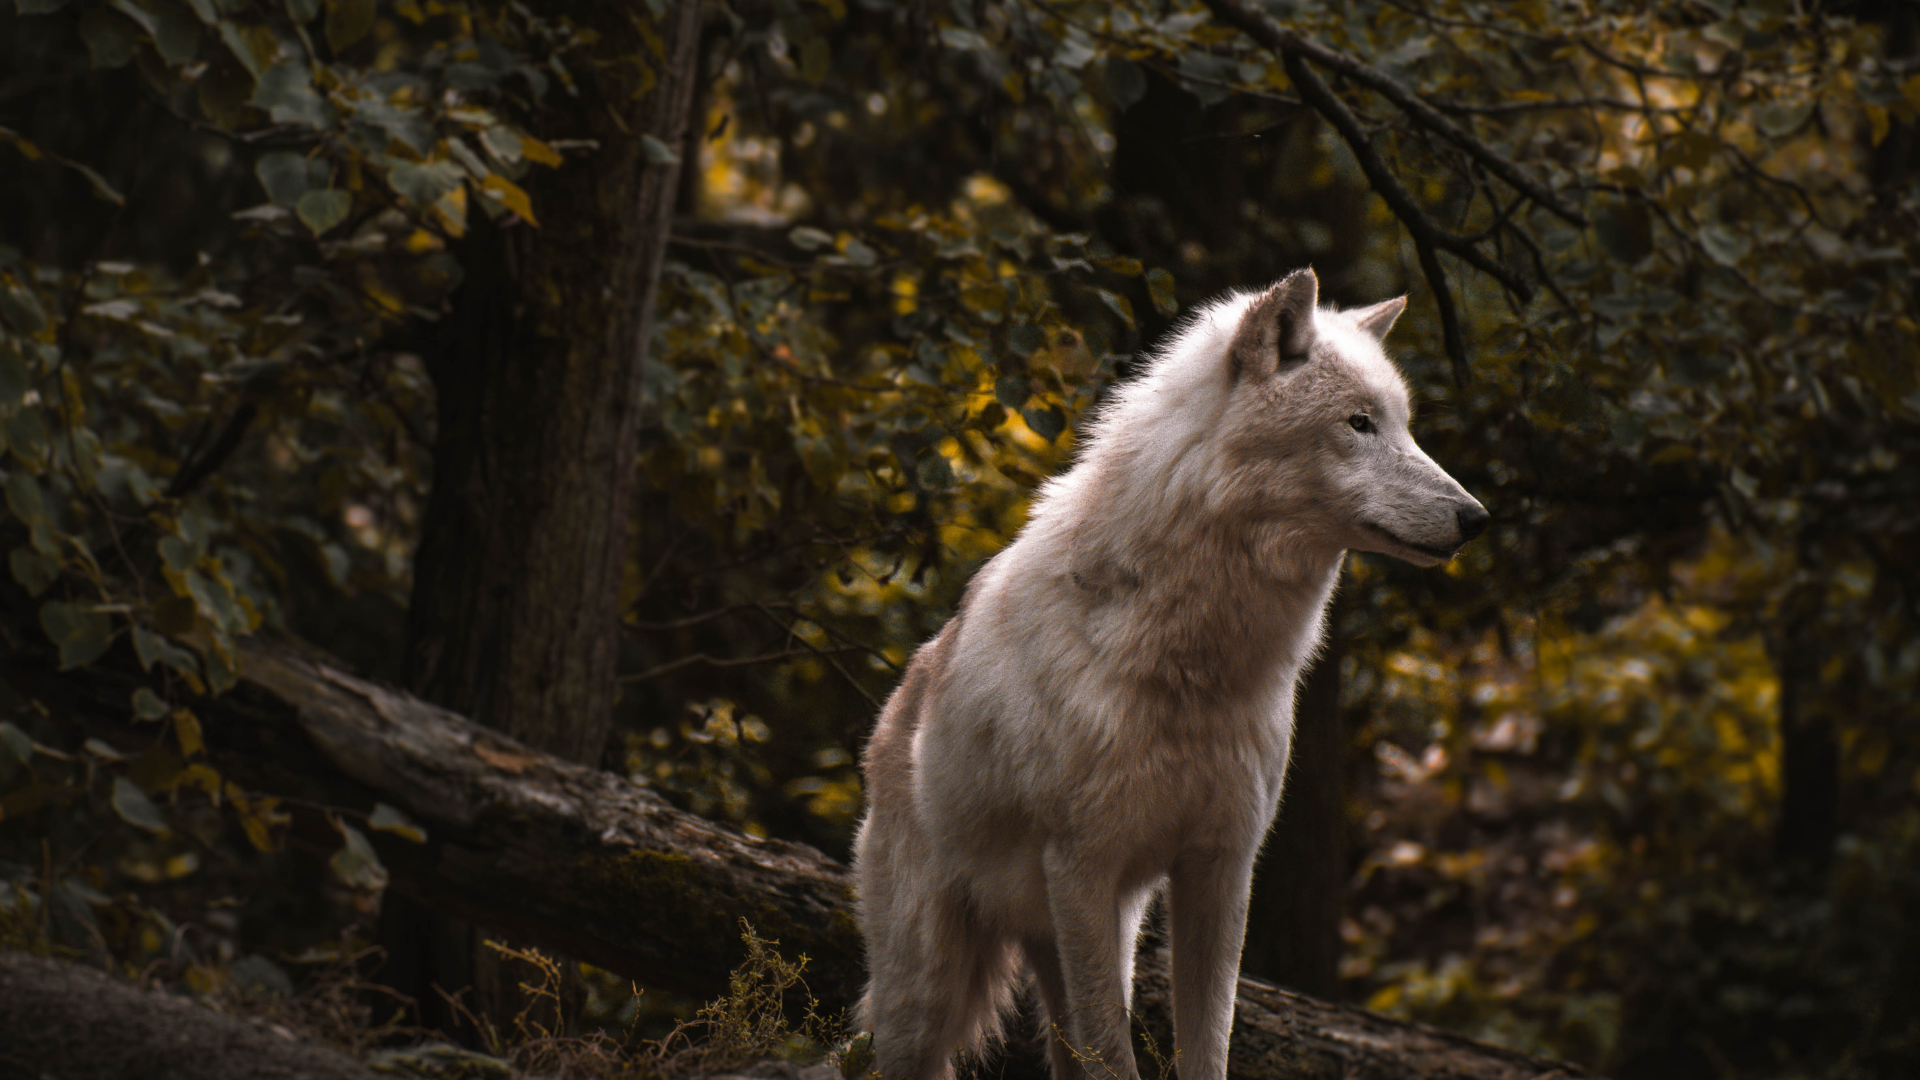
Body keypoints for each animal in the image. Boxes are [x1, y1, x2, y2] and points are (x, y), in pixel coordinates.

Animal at [852, 268, 1488, 1080]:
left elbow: (1205, 1046)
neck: (1196, 669)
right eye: (1359, 423)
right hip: (932, 991)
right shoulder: (1082, 867)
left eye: (1404, 425)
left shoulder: (1221, 868)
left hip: (1092, 941)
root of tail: (897, 704)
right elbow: (1114, 1057)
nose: (1477, 518)